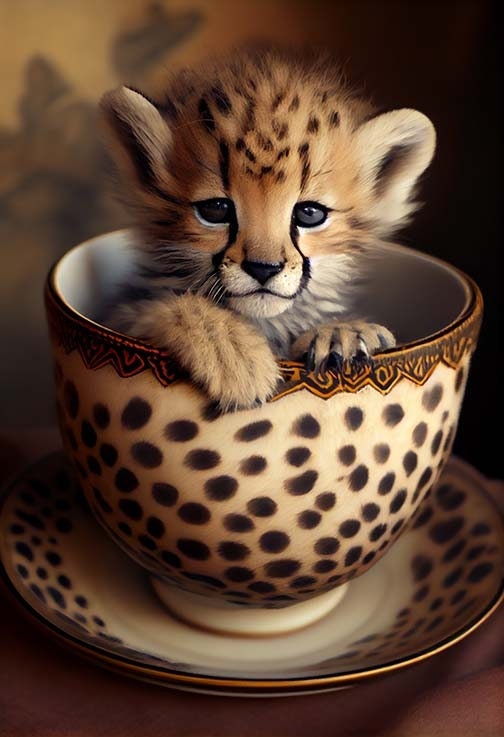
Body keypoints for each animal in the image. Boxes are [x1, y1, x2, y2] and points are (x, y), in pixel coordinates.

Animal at [100, 46, 436, 411]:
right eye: (216, 210)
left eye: (310, 214)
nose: (264, 268)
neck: (267, 322)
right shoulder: (120, 317)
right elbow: (159, 307)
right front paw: (229, 351)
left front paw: (343, 333)